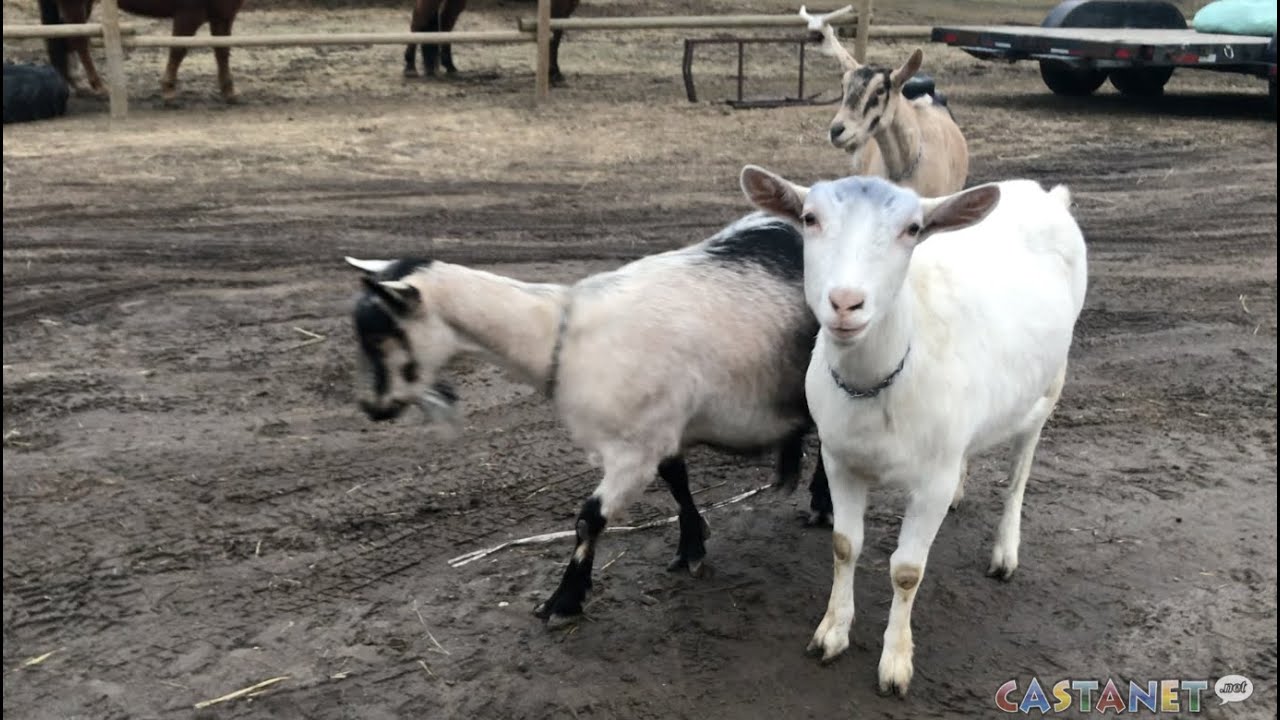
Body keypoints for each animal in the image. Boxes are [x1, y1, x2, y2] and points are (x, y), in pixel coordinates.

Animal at [344, 212, 837, 626]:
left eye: (383, 334)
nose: (373, 407)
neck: (559, 332)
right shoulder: (660, 434)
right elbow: (678, 484)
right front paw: (691, 546)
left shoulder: (632, 454)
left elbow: (588, 519)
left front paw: (563, 601)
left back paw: (822, 505)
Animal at [740, 165, 1087, 697]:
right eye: (810, 218)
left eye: (912, 229)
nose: (845, 303)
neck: (879, 381)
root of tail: (1046, 195)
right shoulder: (840, 460)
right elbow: (845, 545)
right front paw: (831, 633)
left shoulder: (931, 481)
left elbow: (906, 571)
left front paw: (896, 663)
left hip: (1051, 383)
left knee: (1021, 469)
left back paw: (1005, 553)